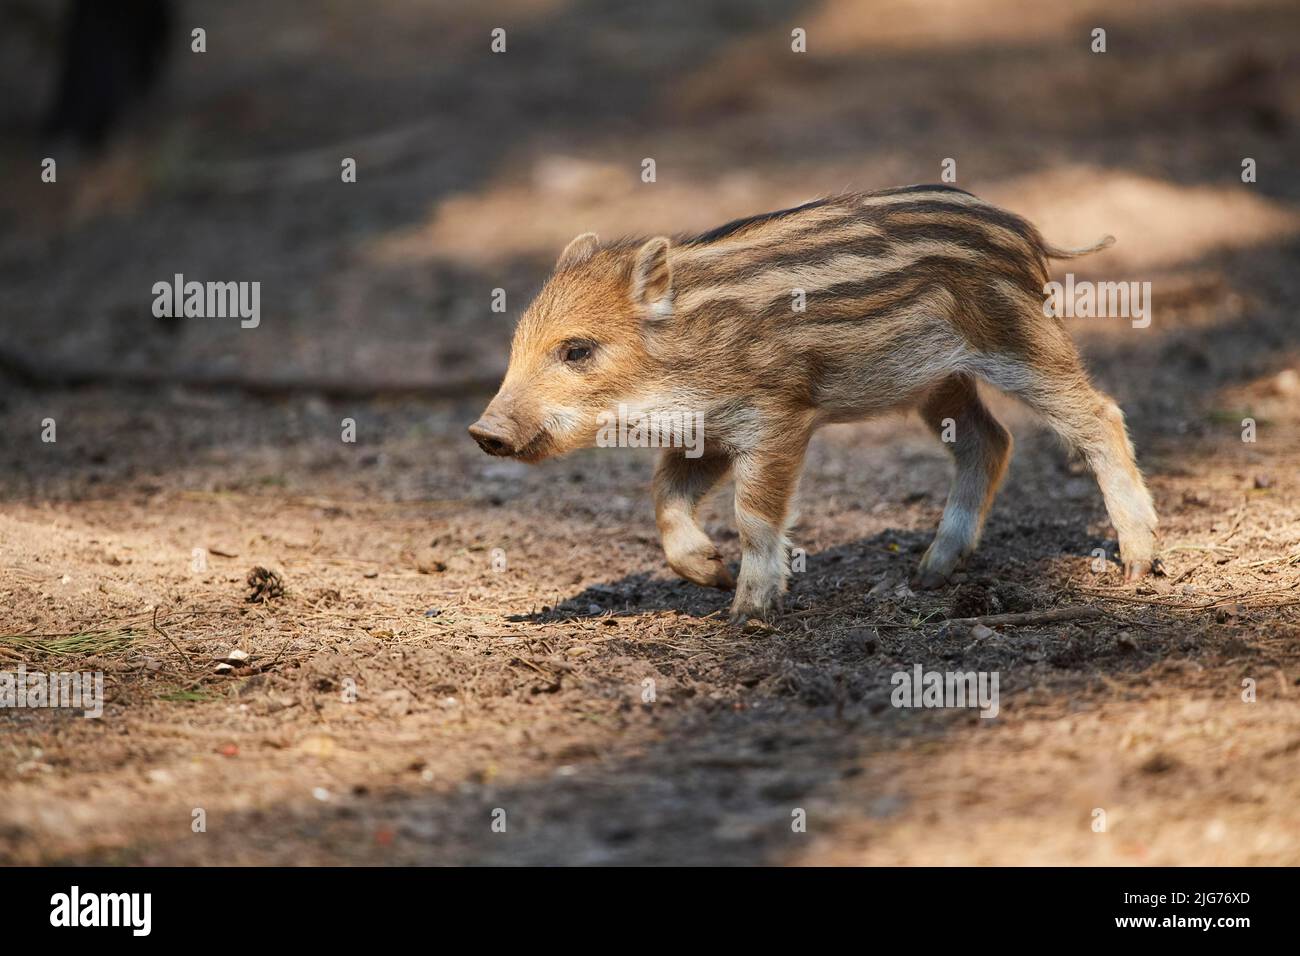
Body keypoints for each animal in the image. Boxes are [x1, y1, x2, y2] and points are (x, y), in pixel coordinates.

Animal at [469, 185, 1158, 623]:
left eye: (578, 350)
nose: (483, 432)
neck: (683, 350)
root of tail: (1024, 230)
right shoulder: (709, 430)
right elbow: (664, 498)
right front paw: (713, 573)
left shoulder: (778, 415)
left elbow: (753, 514)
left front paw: (747, 612)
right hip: (937, 381)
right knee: (990, 442)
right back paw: (929, 573)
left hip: (1019, 342)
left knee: (1098, 415)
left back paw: (1138, 562)